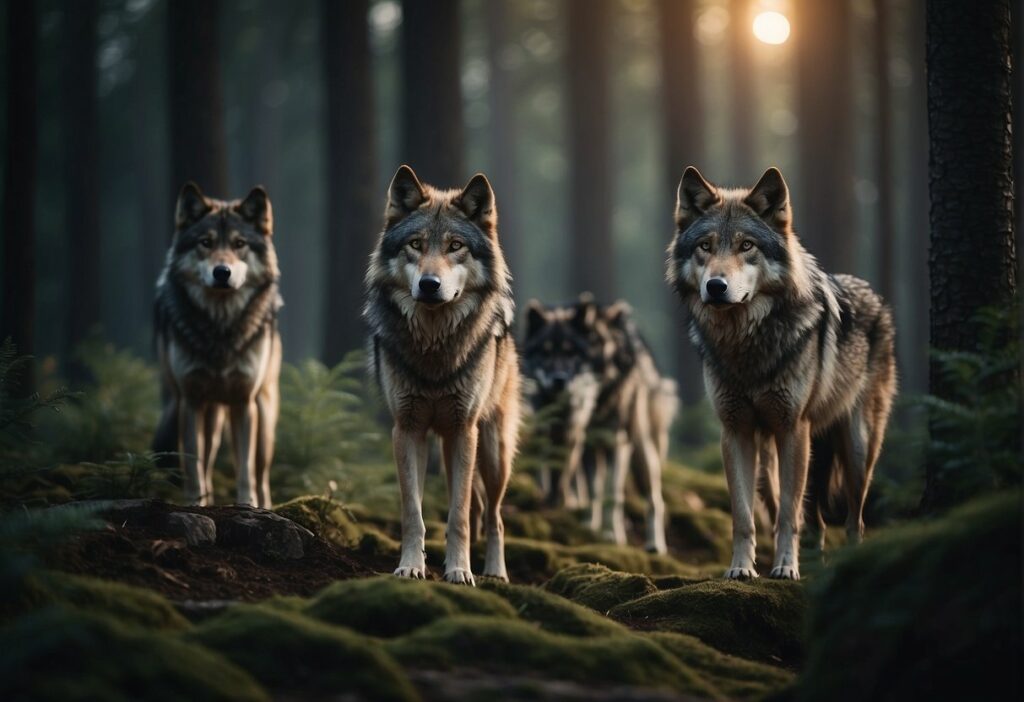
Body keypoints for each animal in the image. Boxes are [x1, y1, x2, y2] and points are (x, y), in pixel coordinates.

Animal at [152, 182, 283, 508]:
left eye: (239, 244)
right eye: (206, 243)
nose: (222, 272)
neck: (220, 328)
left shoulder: (244, 403)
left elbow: (245, 469)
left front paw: (248, 506)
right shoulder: (190, 401)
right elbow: (193, 465)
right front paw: (195, 504)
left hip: (263, 416)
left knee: (261, 473)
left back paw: (266, 506)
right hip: (207, 415)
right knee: (207, 461)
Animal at [364, 165, 521, 585]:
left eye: (455, 246)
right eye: (416, 244)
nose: (429, 285)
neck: (435, 349)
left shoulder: (463, 430)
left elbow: (459, 516)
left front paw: (459, 571)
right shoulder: (406, 430)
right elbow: (413, 512)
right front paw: (410, 566)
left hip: (491, 451)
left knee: (494, 515)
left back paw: (496, 573)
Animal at [523, 295, 677, 554]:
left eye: (572, 353)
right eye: (544, 352)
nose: (559, 380)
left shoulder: (616, 443)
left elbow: (612, 495)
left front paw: (611, 534)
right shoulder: (578, 440)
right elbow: (589, 490)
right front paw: (588, 525)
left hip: (641, 450)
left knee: (655, 499)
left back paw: (654, 544)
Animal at [666, 166, 896, 579]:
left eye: (746, 246)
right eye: (705, 246)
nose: (716, 286)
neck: (746, 344)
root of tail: (875, 296)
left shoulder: (793, 427)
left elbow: (791, 513)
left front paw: (786, 568)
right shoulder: (735, 431)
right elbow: (744, 517)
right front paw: (741, 569)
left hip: (856, 447)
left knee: (853, 517)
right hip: (774, 455)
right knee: (802, 514)